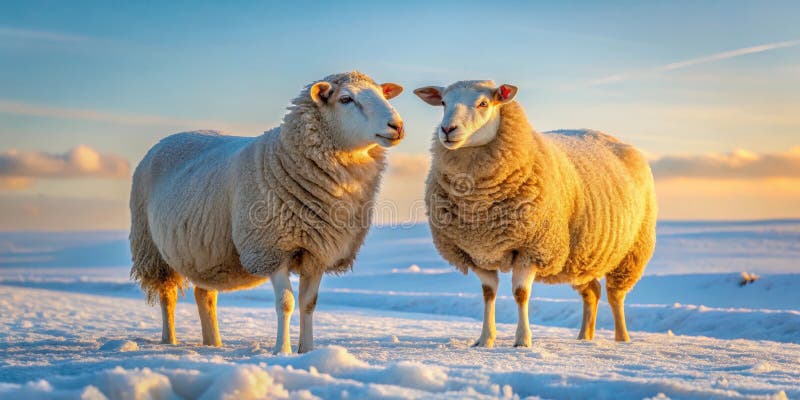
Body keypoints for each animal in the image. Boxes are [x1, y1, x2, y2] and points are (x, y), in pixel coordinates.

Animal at [130, 71, 404, 353]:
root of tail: (168, 138)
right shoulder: (271, 249)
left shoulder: (317, 253)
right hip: (152, 248)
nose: (397, 126)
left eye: (383, 95)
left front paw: (307, 351)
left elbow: (309, 304)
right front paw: (282, 350)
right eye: (346, 99)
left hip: (205, 253)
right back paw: (169, 341)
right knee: (168, 296)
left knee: (204, 295)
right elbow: (286, 302)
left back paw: (213, 344)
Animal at [414, 80, 656, 346]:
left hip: (631, 252)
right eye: (443, 103)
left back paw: (622, 338)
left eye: (483, 103)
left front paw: (523, 340)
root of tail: (613, 138)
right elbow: (488, 293)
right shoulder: (474, 252)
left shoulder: (531, 248)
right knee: (592, 292)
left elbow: (521, 294)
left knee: (616, 296)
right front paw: (485, 339)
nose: (447, 129)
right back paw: (584, 336)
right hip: (581, 257)